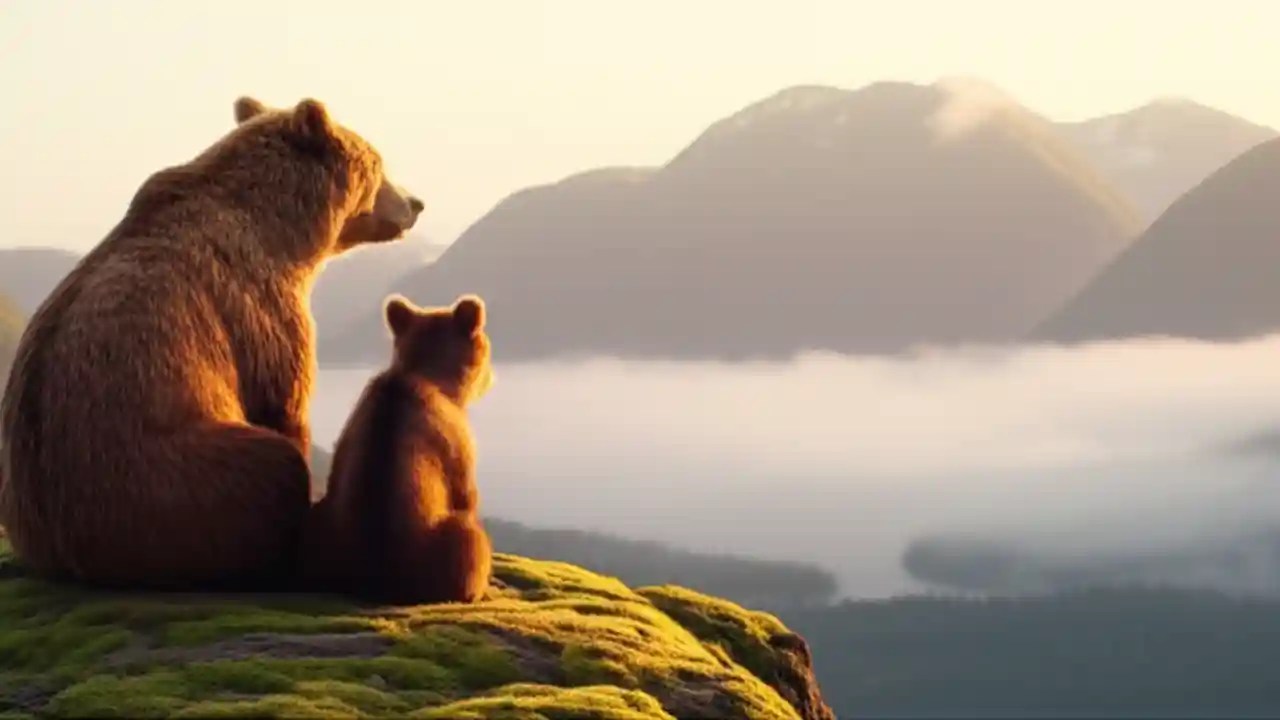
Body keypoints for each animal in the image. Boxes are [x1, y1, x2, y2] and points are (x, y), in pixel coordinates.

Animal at [0, 96, 424, 589]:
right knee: (273, 464)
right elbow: (283, 404)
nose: (416, 202)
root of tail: (64, 552)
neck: (288, 231)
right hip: (174, 481)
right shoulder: (261, 309)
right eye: (379, 163)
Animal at [302, 293, 495, 604]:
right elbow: (466, 494)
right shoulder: (457, 447)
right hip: (450, 539)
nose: (492, 376)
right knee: (469, 535)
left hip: (317, 520)